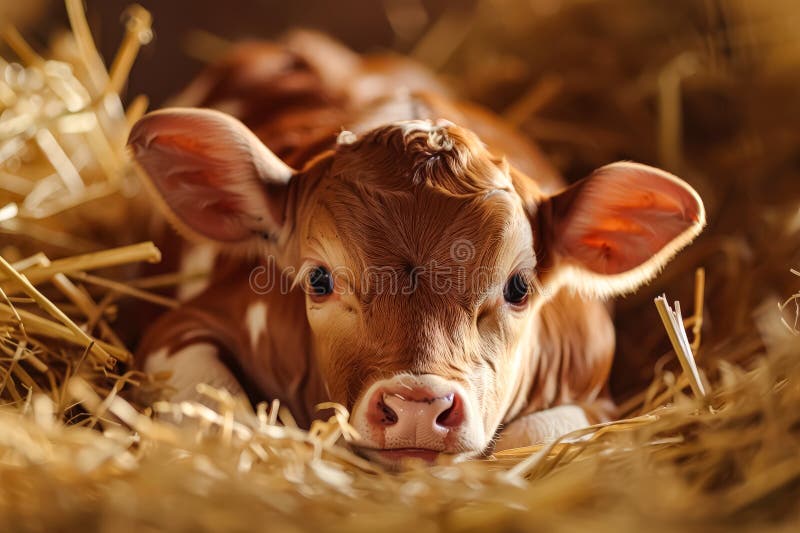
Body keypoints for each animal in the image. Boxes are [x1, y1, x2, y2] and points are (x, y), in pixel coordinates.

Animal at [129, 32, 705, 469]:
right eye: (319, 279)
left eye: (519, 288)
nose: (418, 407)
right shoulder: (178, 329)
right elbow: (211, 409)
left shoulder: (594, 394)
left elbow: (533, 437)